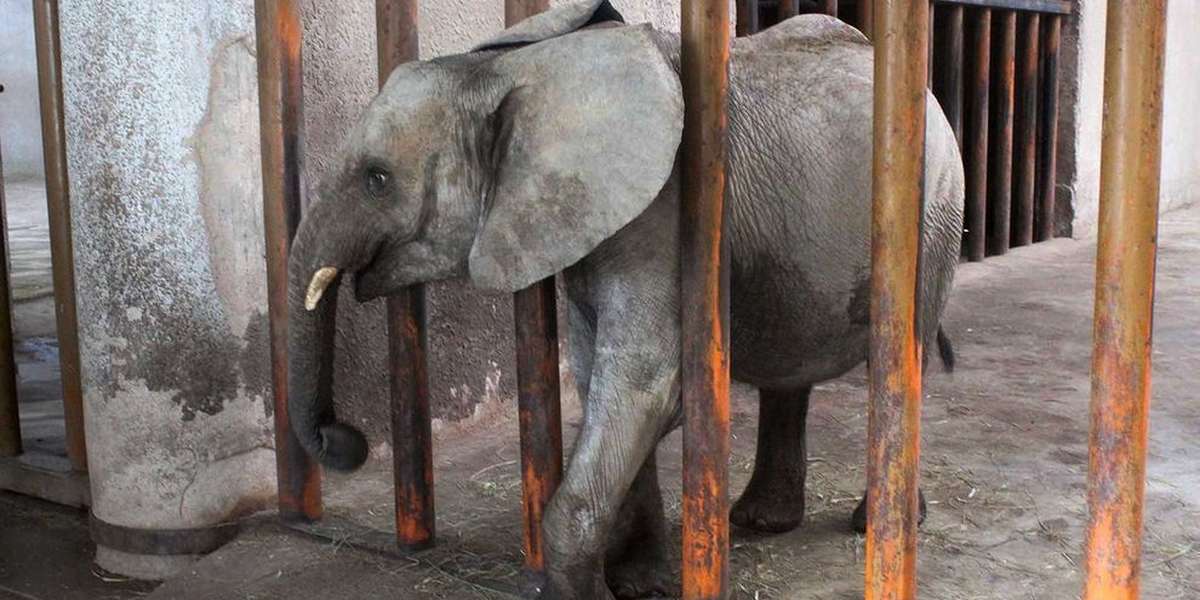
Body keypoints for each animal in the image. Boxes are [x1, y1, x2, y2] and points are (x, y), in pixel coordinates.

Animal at [285, 2, 964, 599]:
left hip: (932, 215)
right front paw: (639, 584)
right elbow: (597, 380)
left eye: (376, 178)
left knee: (900, 357)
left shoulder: (665, 218)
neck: (521, 70)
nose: (345, 439)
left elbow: (646, 386)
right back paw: (759, 522)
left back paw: (874, 524)